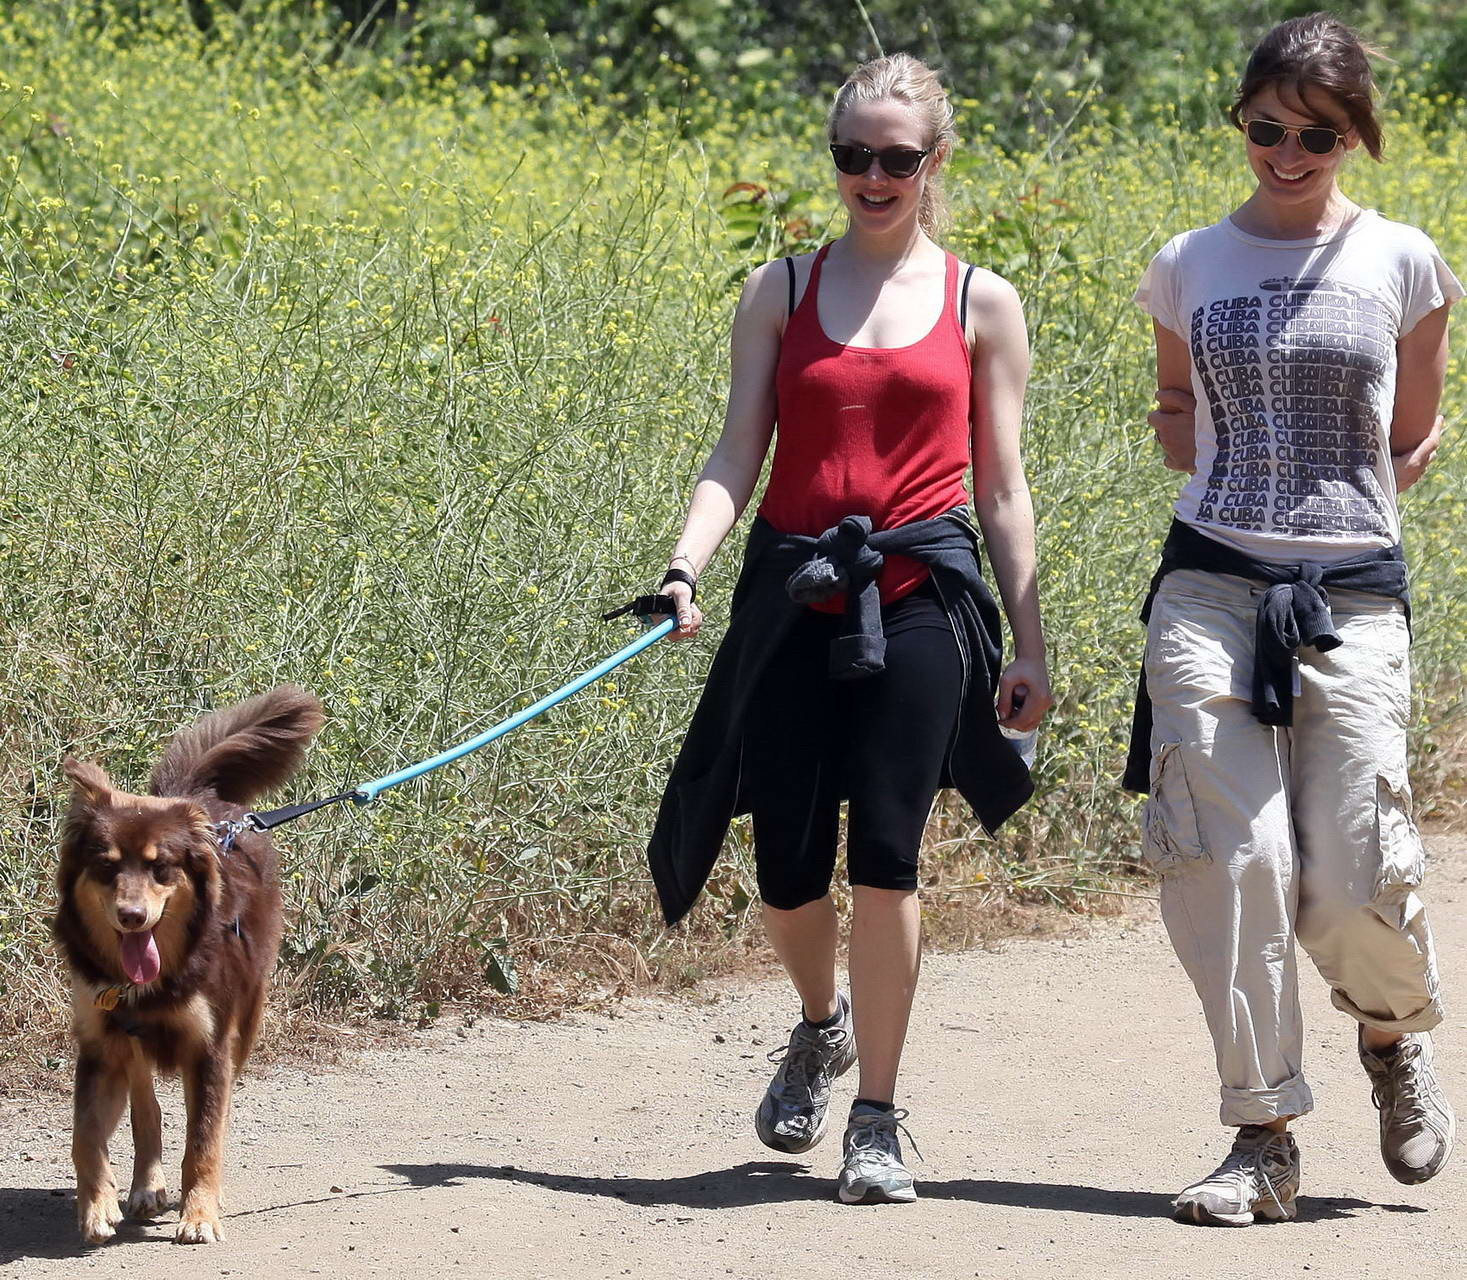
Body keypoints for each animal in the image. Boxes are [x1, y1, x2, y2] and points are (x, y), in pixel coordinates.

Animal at [56, 683, 324, 1243]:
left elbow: (203, 1139)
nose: (132, 917)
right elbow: (84, 1135)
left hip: (245, 1021)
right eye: (106, 867)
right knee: (146, 1107)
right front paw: (97, 1206)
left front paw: (199, 1214)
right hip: (131, 1040)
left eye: (161, 868)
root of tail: (200, 796)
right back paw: (145, 1185)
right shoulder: (99, 1042)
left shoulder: (210, 1045)